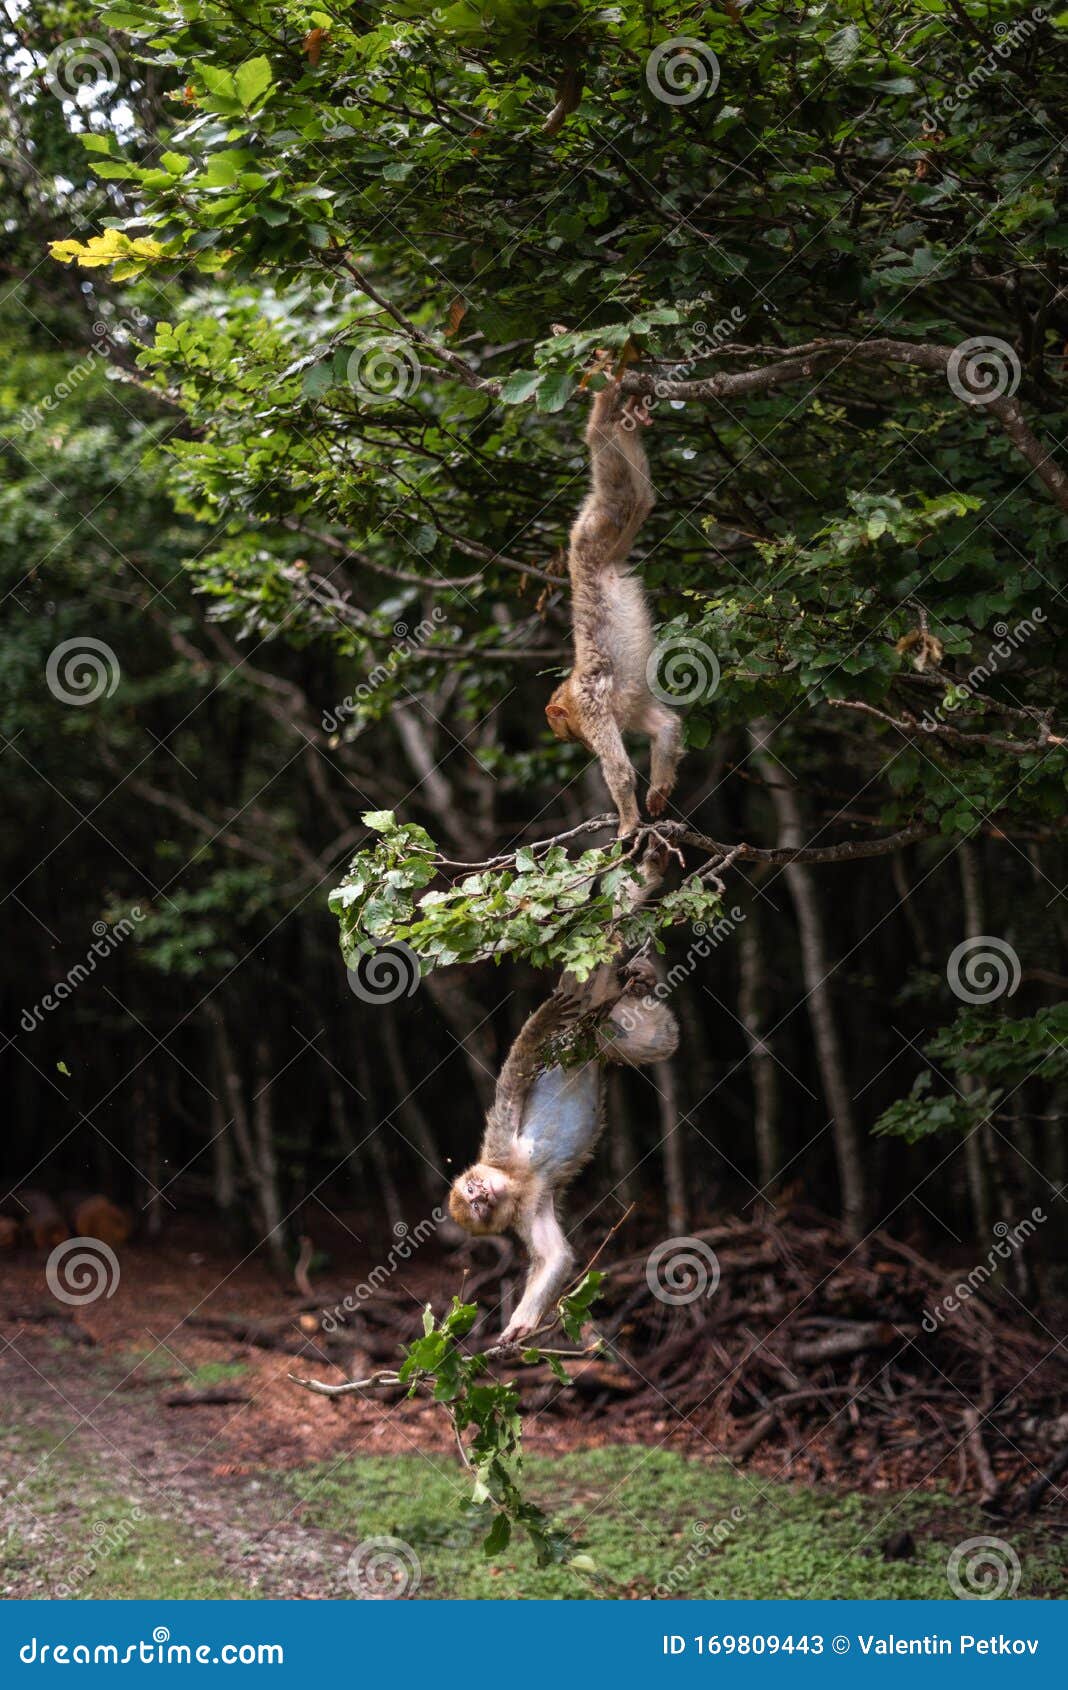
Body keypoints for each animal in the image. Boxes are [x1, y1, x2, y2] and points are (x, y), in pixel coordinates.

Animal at [448, 960, 679, 1345]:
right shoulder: (526, 1210)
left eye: (472, 1191)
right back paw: (642, 983)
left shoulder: (499, 1149)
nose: (481, 1194)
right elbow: (555, 1257)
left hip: (580, 1012)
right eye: (476, 1206)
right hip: (604, 1035)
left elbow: (514, 1079)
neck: (516, 1181)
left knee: (581, 990)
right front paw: (520, 1325)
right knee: (654, 1040)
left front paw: (541, 1022)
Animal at [545, 378, 683, 835]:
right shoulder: (628, 707)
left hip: (595, 529)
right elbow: (666, 727)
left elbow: (619, 770)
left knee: (601, 448)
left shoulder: (591, 708)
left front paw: (626, 825)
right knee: (640, 493)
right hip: (617, 527)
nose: (578, 744)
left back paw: (605, 405)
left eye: (566, 728)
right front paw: (659, 793)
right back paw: (630, 411)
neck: (572, 686)